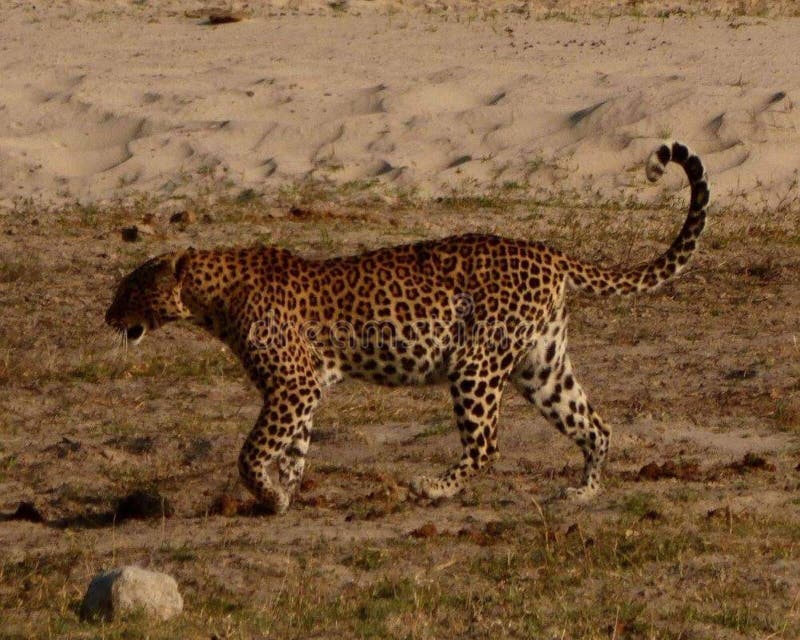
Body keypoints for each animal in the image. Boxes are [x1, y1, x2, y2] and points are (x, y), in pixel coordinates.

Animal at [106, 141, 709, 514]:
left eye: (129, 290)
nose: (108, 317)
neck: (212, 296)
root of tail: (551, 253)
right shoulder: (303, 390)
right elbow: (293, 449)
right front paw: (284, 497)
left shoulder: (293, 384)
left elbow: (252, 452)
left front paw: (268, 494)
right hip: (542, 367)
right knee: (596, 427)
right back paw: (582, 493)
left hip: (475, 365)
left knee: (487, 443)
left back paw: (432, 489)